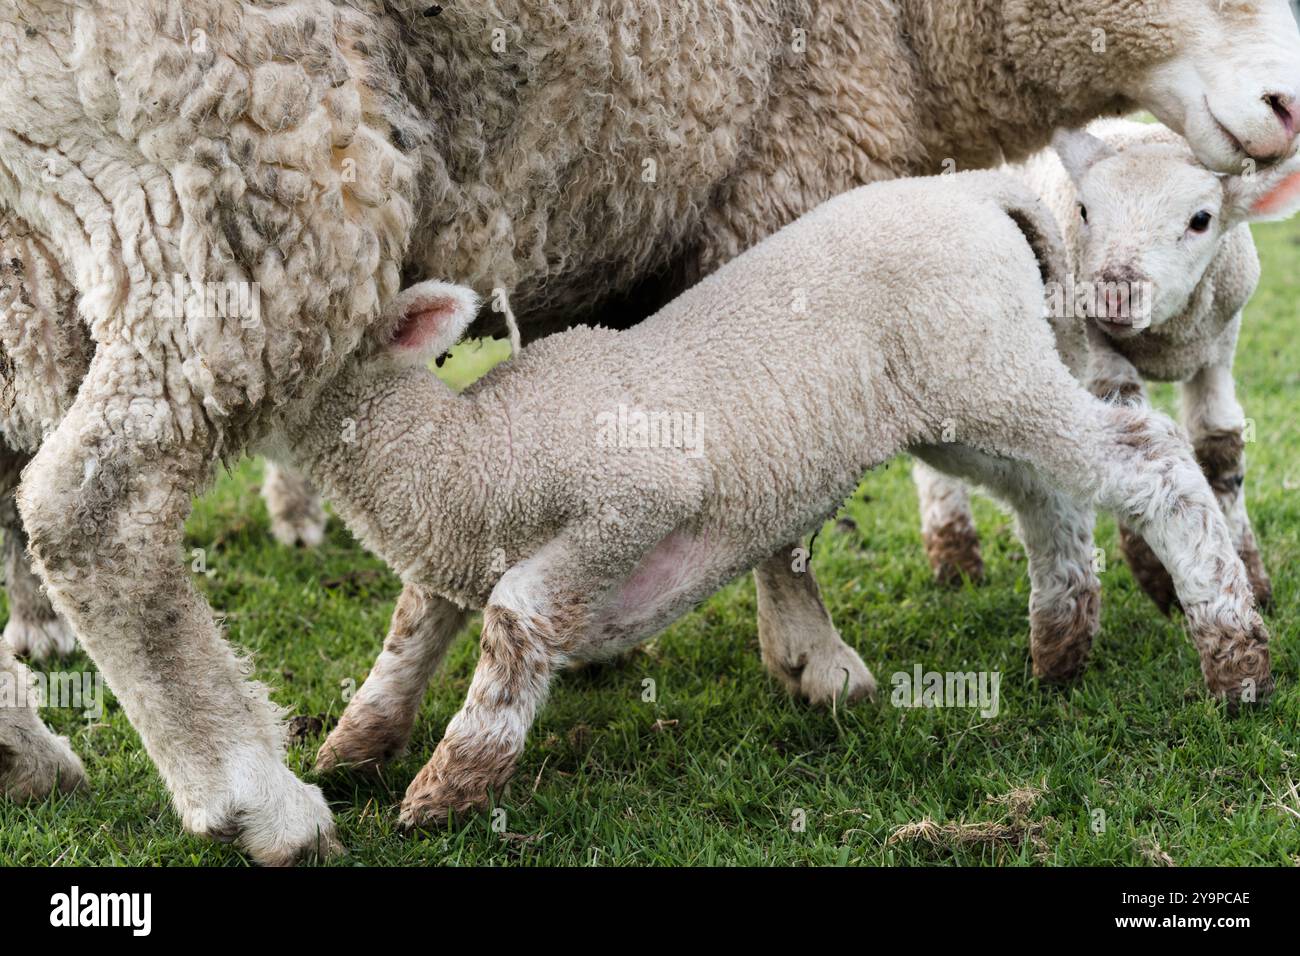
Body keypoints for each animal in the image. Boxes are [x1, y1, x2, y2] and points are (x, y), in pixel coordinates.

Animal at [288, 169, 1280, 829]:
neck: (471, 452)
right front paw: (353, 748)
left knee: (1150, 462)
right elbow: (412, 629)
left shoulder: (634, 499)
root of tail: (982, 191)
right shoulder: (451, 548)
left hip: (990, 371)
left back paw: (1235, 661)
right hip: (965, 400)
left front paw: (448, 786)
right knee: (1050, 497)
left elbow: (516, 616)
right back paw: (1061, 647)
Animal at [912, 119, 1298, 646]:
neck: (1164, 340)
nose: (1116, 291)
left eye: (1201, 220)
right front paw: (1154, 571)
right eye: (1083, 211)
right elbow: (1131, 434)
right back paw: (953, 552)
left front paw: (1253, 576)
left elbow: (1219, 450)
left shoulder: (1219, 346)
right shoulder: (1092, 340)